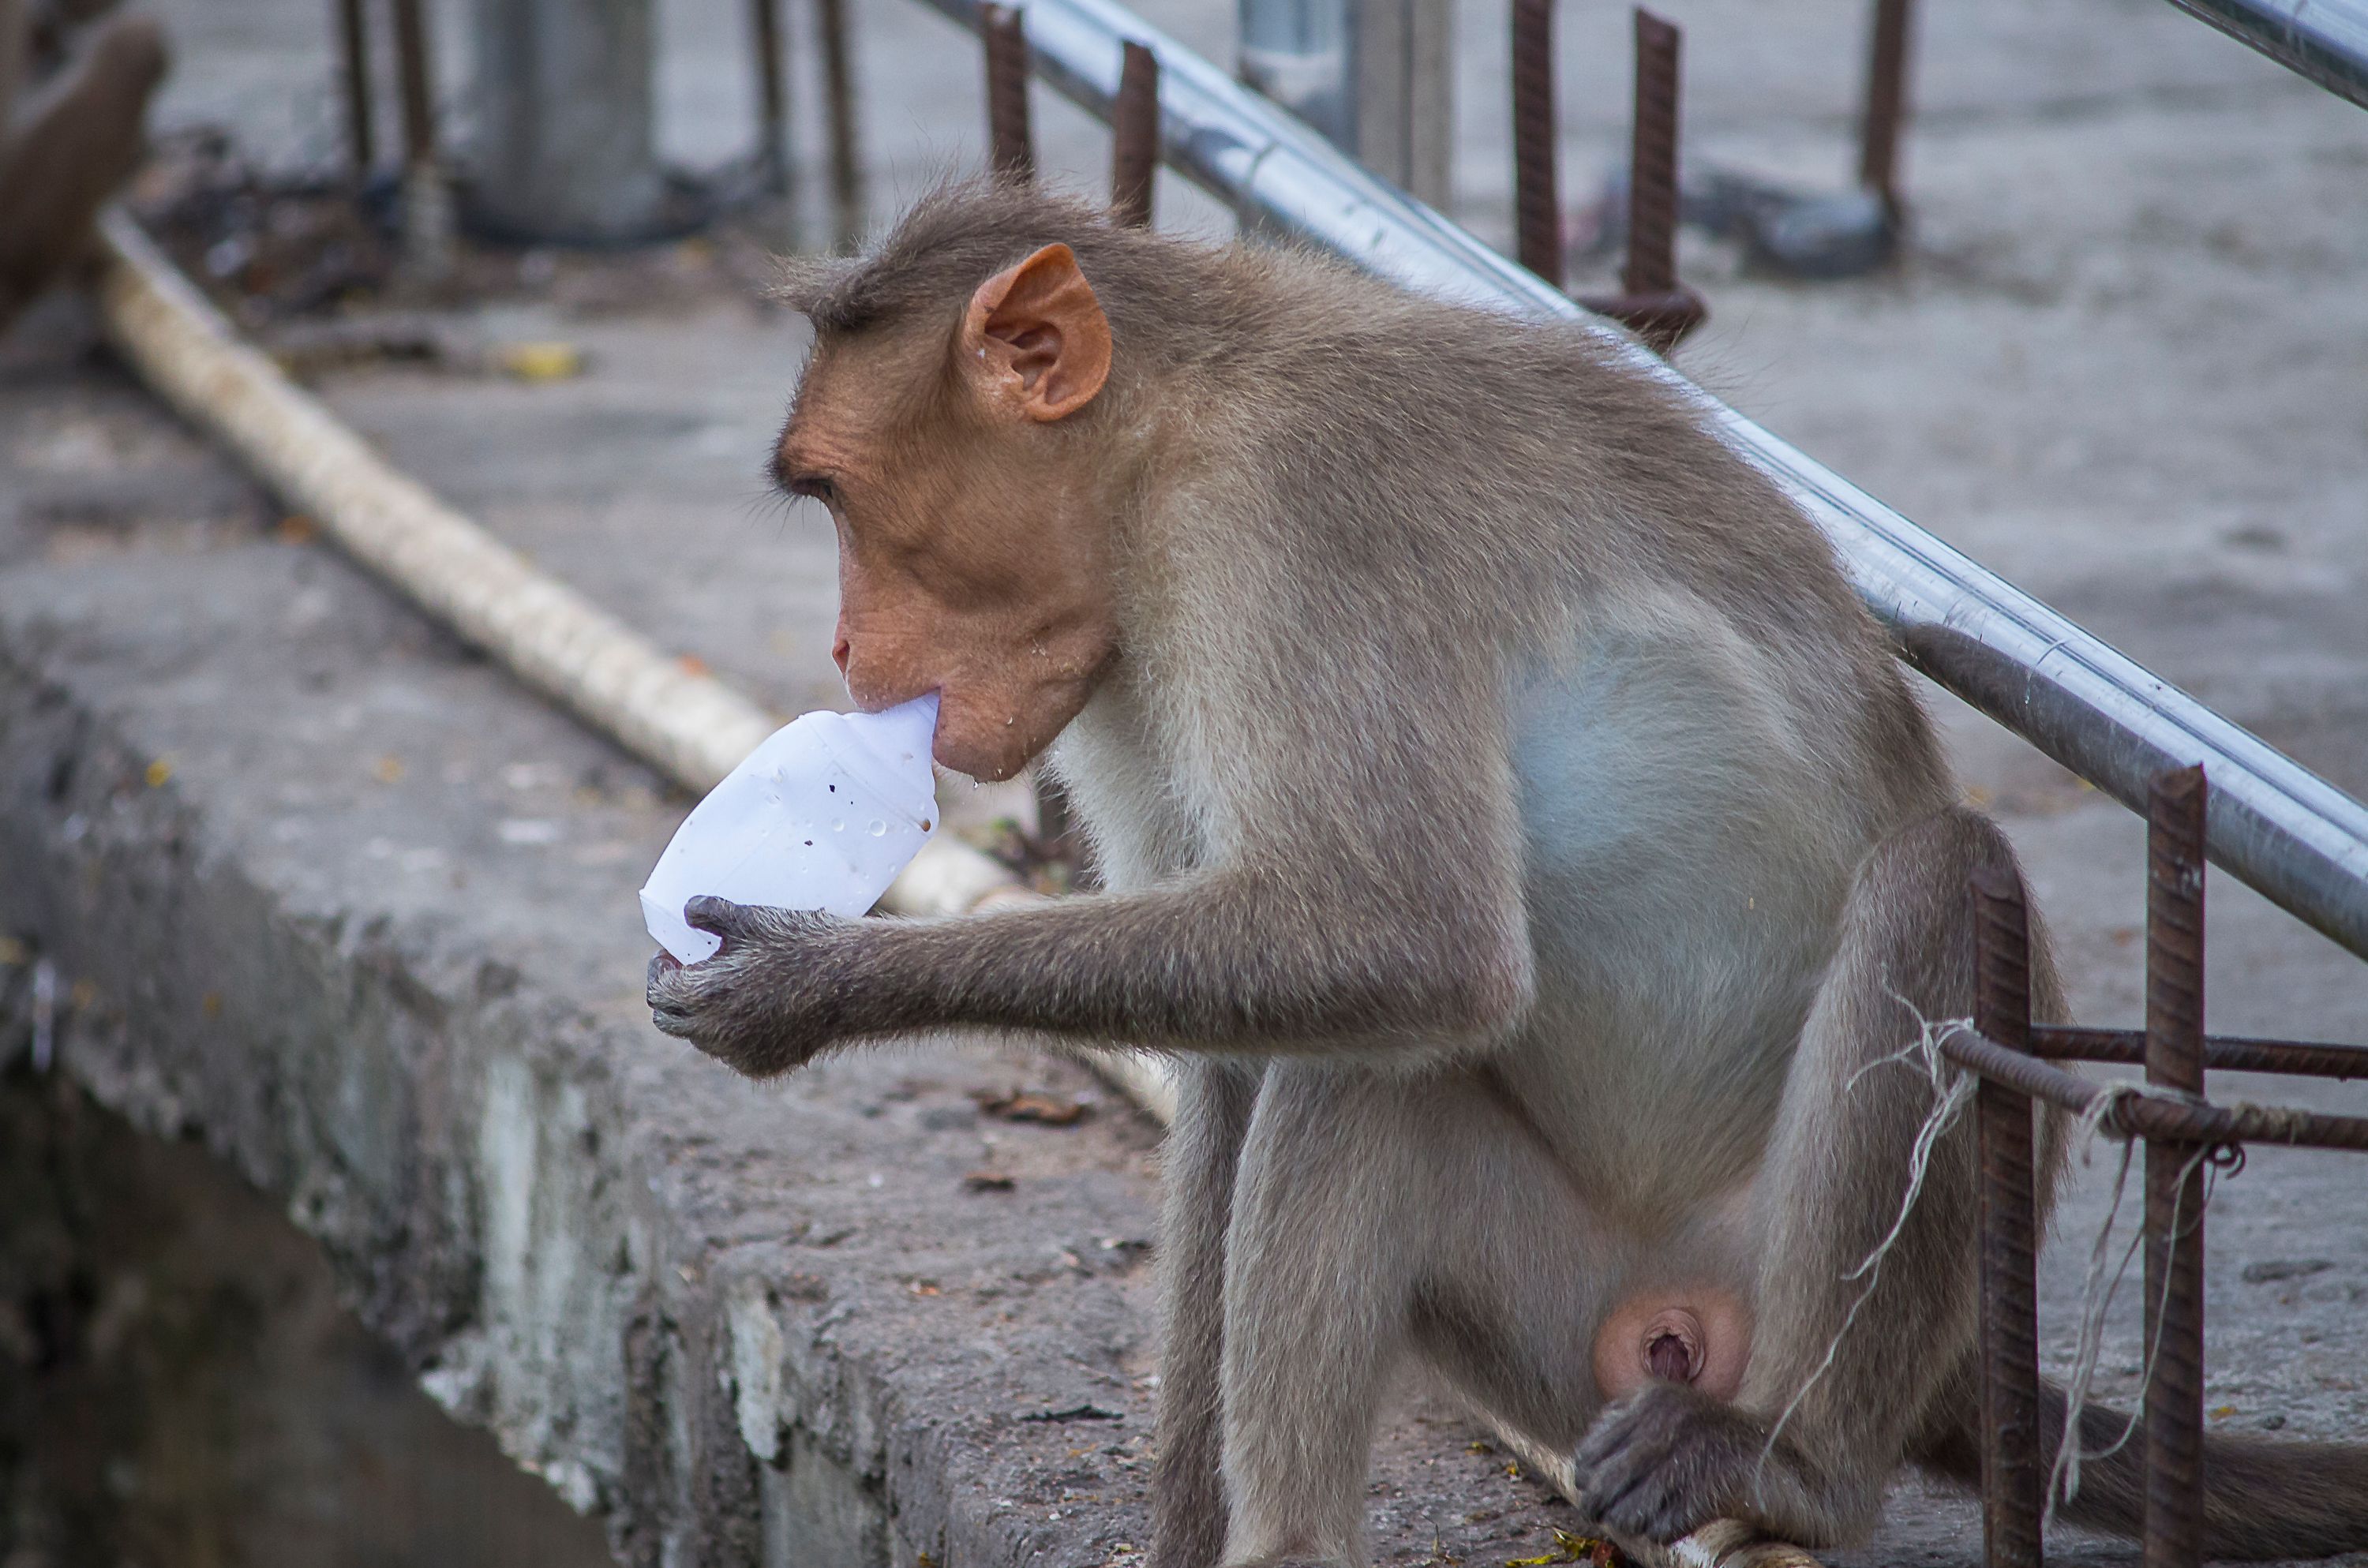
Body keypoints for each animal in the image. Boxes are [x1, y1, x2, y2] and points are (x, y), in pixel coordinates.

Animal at [646, 184, 2368, 1566]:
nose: (845, 649)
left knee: (1914, 887)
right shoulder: (1119, 666)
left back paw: (1775, 1474)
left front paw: (806, 978)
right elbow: (1231, 1063)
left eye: (840, 496)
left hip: (1760, 1296)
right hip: (1562, 1333)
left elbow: (1406, 940)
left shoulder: (1301, 520)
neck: (1165, 453)